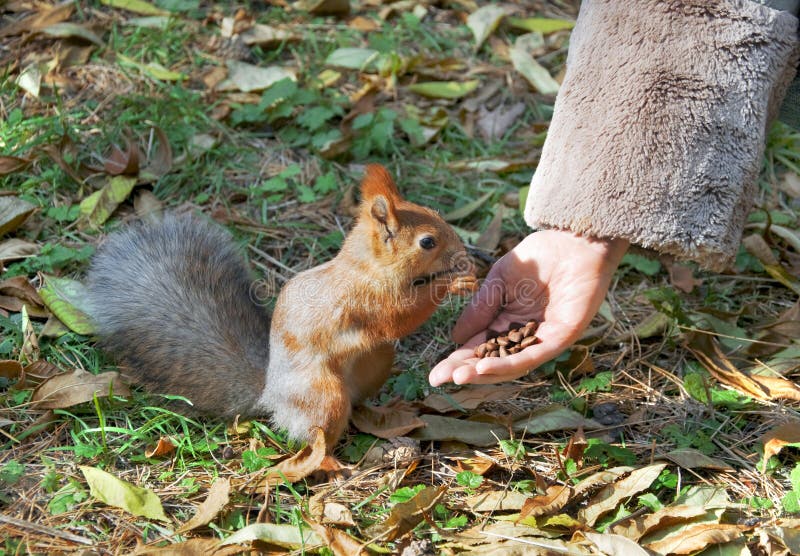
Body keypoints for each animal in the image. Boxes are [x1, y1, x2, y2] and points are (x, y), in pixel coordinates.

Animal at [85, 164, 477, 452]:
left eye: (434, 212)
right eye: (427, 242)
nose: (464, 251)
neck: (365, 268)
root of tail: (270, 393)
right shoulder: (364, 301)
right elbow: (398, 318)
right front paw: (454, 283)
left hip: (377, 361)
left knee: (358, 404)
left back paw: (389, 411)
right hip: (323, 393)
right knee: (319, 433)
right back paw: (323, 463)